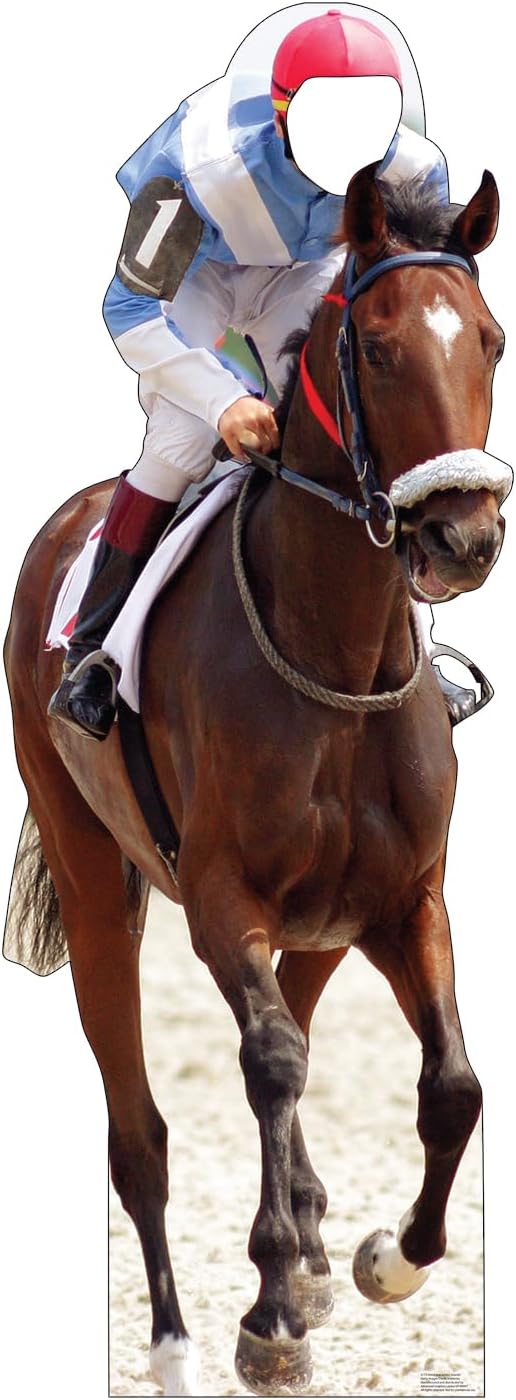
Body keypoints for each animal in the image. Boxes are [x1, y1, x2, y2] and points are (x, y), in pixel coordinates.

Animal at [4, 163, 509, 1397]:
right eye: (376, 347)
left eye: (489, 339)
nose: (465, 539)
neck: (337, 659)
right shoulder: (220, 901)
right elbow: (270, 1061)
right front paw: (272, 1311)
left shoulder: (406, 898)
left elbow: (454, 1085)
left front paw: (383, 1257)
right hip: (96, 886)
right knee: (141, 1131)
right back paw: (178, 1341)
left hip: (324, 922)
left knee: (304, 1016)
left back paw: (321, 1243)